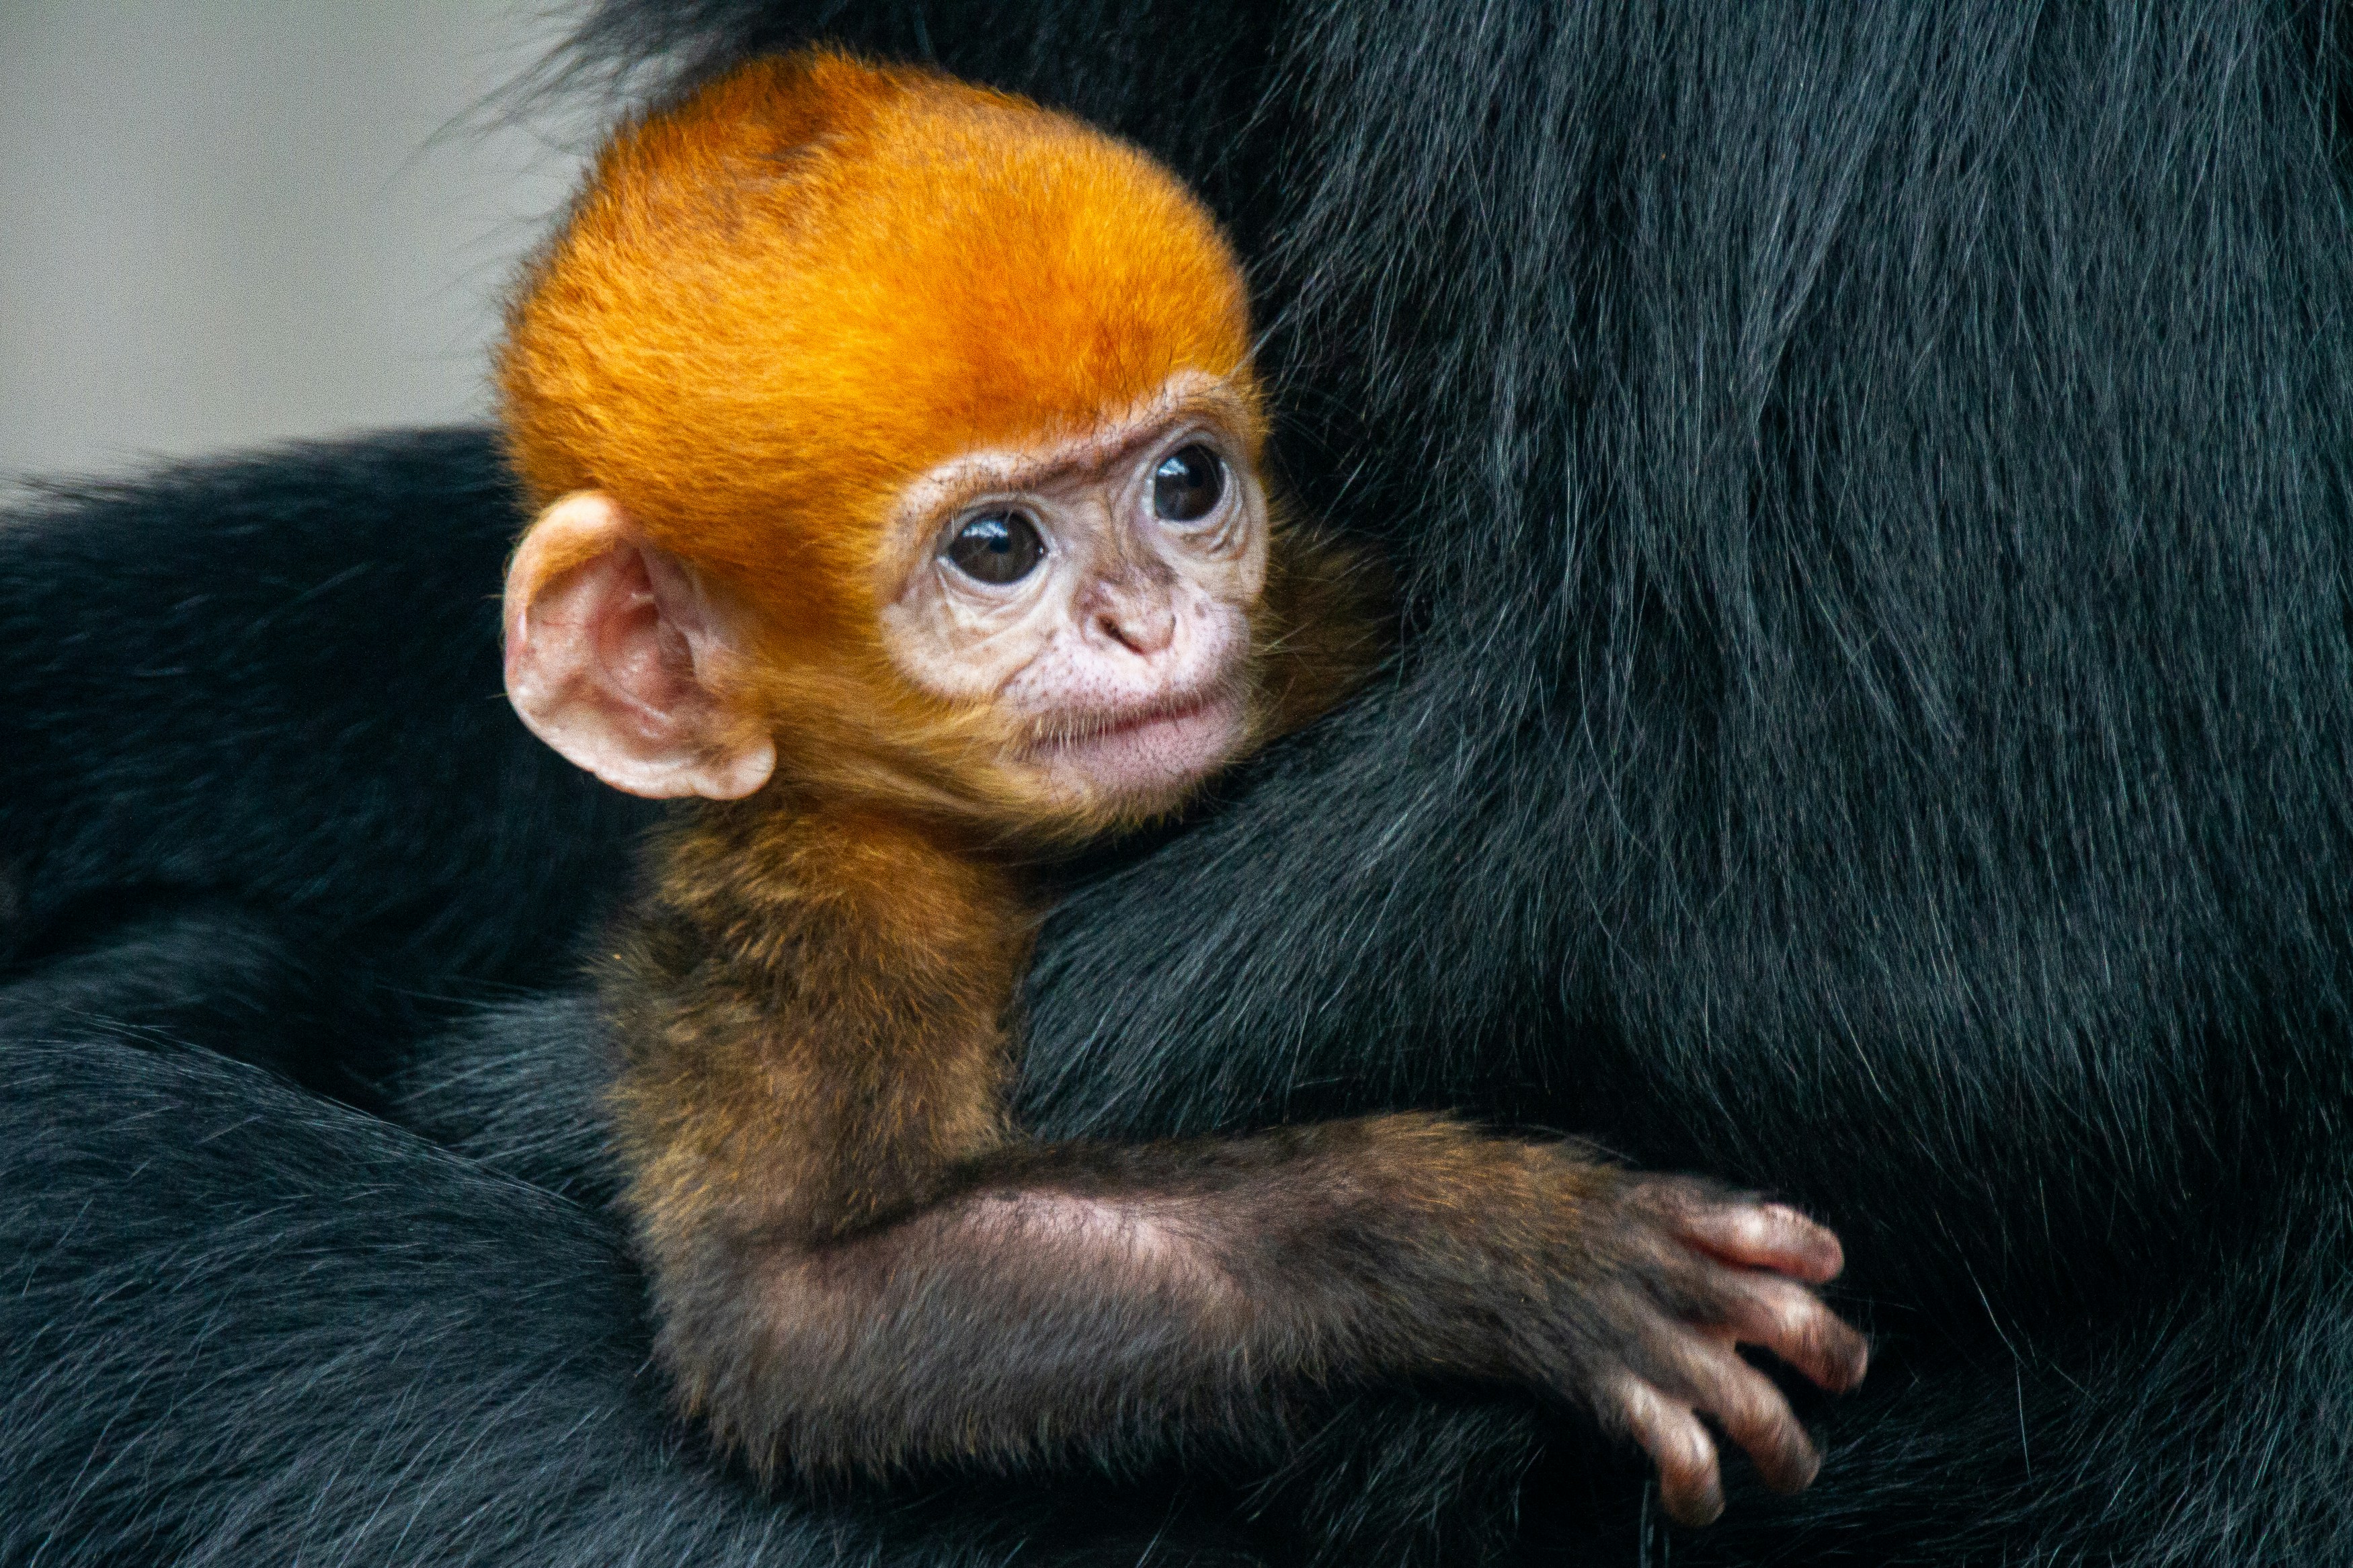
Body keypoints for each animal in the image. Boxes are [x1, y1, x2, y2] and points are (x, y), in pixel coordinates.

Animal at [491, 51, 1865, 1528]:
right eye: (995, 546)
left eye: (1185, 480)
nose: (1147, 622)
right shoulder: (831, 907)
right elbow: (804, 1305)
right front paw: (1500, 1244)